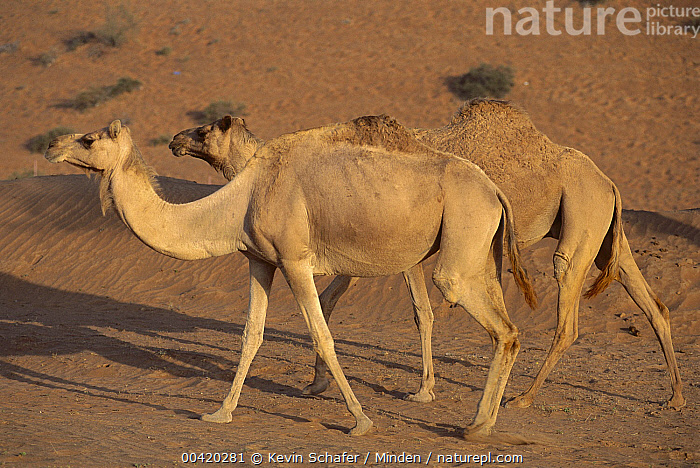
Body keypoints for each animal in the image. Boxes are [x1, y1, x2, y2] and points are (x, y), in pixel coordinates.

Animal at [45, 115, 537, 438]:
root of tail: (495, 189)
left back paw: (475, 425)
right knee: (507, 327)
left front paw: (360, 421)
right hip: (480, 250)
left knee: (493, 321)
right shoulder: (260, 261)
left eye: (88, 139)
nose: (51, 146)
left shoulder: (295, 260)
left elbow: (323, 334)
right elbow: (252, 334)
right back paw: (484, 420)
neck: (240, 197)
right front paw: (220, 413)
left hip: (460, 243)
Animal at [170, 99, 684, 410]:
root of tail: (609, 180)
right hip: (605, 231)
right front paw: (316, 382)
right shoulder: (360, 249)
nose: (175, 139)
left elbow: (421, 313)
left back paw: (520, 398)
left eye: (207, 127)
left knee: (568, 317)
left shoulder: (390, 249)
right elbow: (334, 302)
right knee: (650, 303)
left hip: (580, 221)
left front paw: (423, 390)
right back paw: (676, 399)